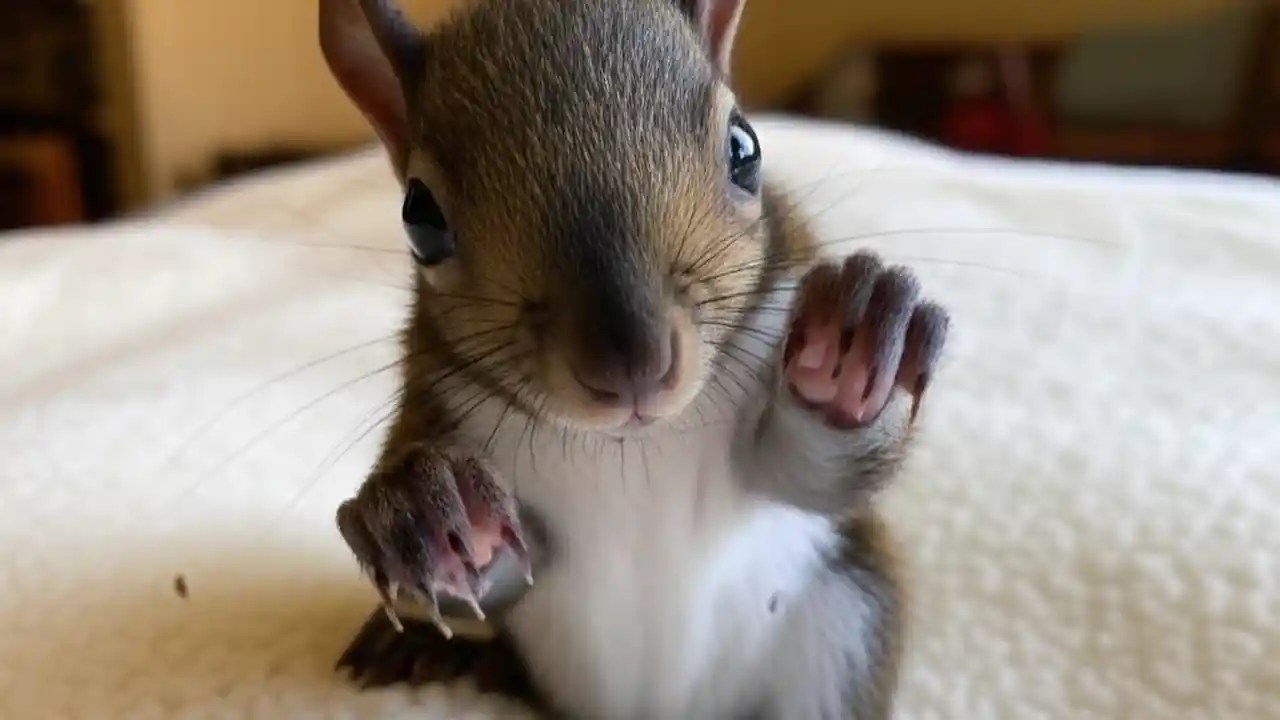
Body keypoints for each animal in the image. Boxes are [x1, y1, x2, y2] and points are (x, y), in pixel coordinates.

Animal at [319, 0, 949, 717]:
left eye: (745, 150)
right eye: (418, 216)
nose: (634, 365)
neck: (631, 447)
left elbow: (813, 473)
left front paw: (854, 350)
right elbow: (496, 576)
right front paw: (429, 513)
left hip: (844, 620)